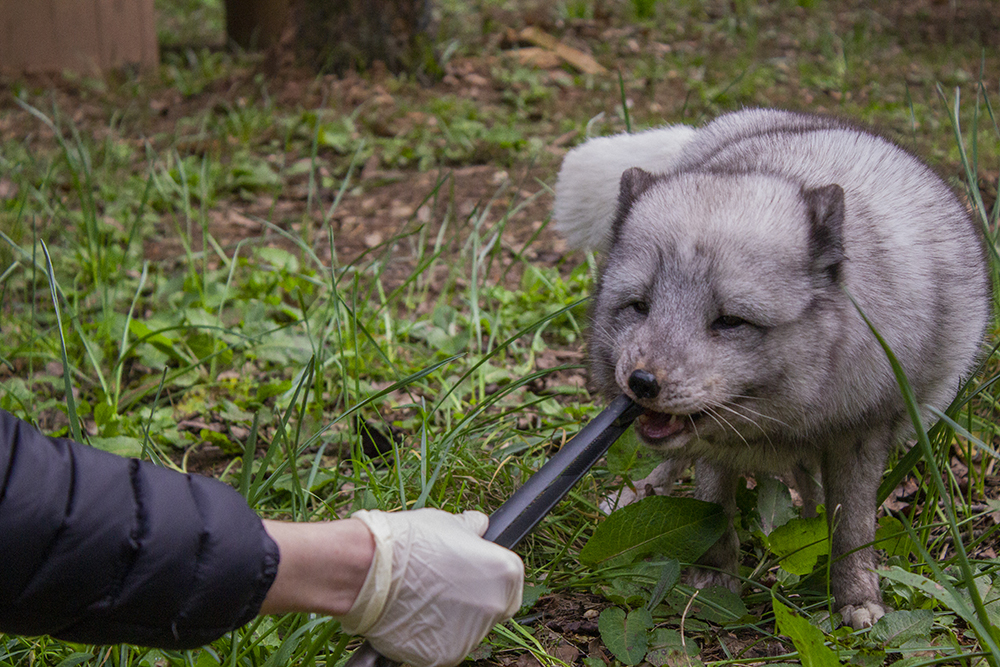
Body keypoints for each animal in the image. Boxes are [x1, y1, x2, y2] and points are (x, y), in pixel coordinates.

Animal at [554, 108, 992, 628]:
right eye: (639, 307)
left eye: (729, 321)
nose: (641, 383)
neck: (781, 421)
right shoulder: (713, 443)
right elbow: (713, 505)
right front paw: (712, 582)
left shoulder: (863, 429)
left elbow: (853, 526)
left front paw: (855, 597)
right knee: (679, 462)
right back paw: (643, 491)